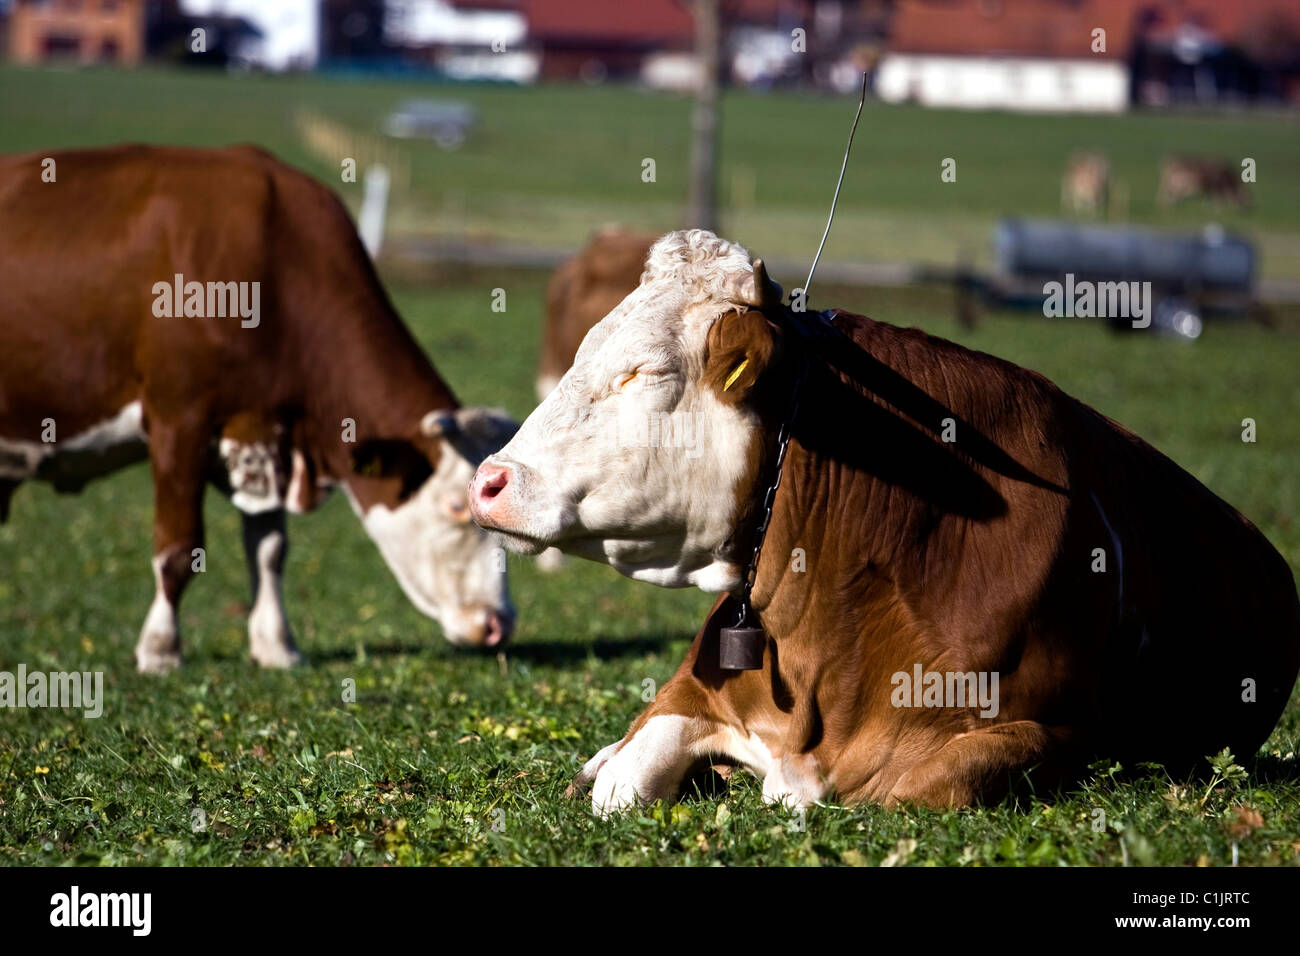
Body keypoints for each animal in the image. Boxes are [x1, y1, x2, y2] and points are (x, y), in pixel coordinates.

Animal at [0, 145, 518, 673]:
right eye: (456, 506)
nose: (499, 624)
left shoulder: (268, 431)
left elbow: (269, 549)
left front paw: (276, 645)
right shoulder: (178, 423)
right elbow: (178, 547)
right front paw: (160, 648)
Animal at [470, 229, 1300, 814]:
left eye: (645, 371)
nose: (487, 480)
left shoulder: (1055, 733)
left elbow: (900, 785)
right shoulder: (697, 688)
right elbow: (628, 780)